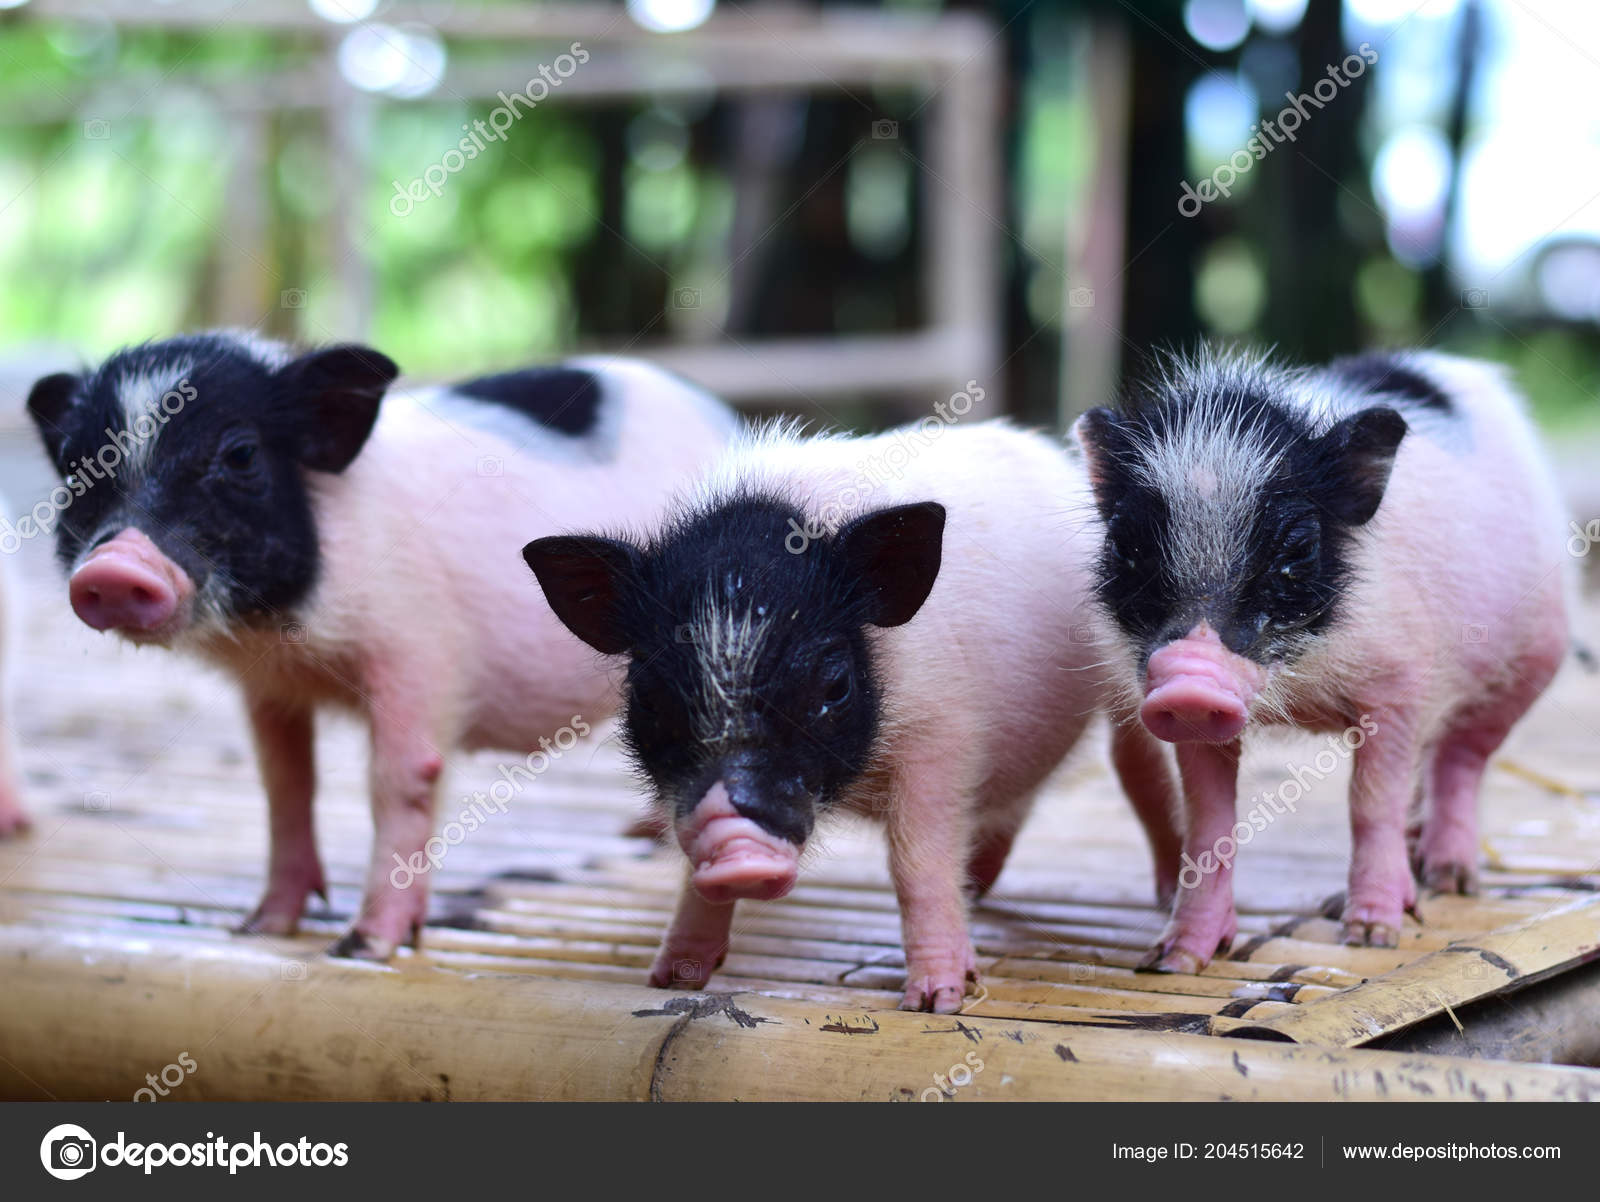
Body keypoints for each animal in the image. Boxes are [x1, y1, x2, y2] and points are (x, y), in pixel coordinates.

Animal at [25, 330, 738, 958]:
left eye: (241, 455)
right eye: (78, 468)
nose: (114, 567)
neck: (288, 636)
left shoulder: (417, 648)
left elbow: (402, 778)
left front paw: (363, 947)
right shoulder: (269, 686)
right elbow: (285, 785)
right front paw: (259, 929)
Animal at [524, 419, 1184, 1013]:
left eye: (835, 684)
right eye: (649, 697)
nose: (738, 848)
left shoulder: (941, 733)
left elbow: (915, 861)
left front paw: (936, 1002)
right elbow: (690, 872)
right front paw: (669, 980)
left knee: (1137, 768)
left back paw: (1165, 895)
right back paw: (978, 886)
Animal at [1073, 347, 1572, 971]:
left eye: (1298, 548)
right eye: (1127, 546)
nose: (1190, 684)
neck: (1301, 691)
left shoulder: (1400, 683)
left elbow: (1370, 803)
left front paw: (1371, 936)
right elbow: (1209, 824)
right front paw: (1174, 961)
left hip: (1539, 651)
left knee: (1464, 755)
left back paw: (1451, 880)